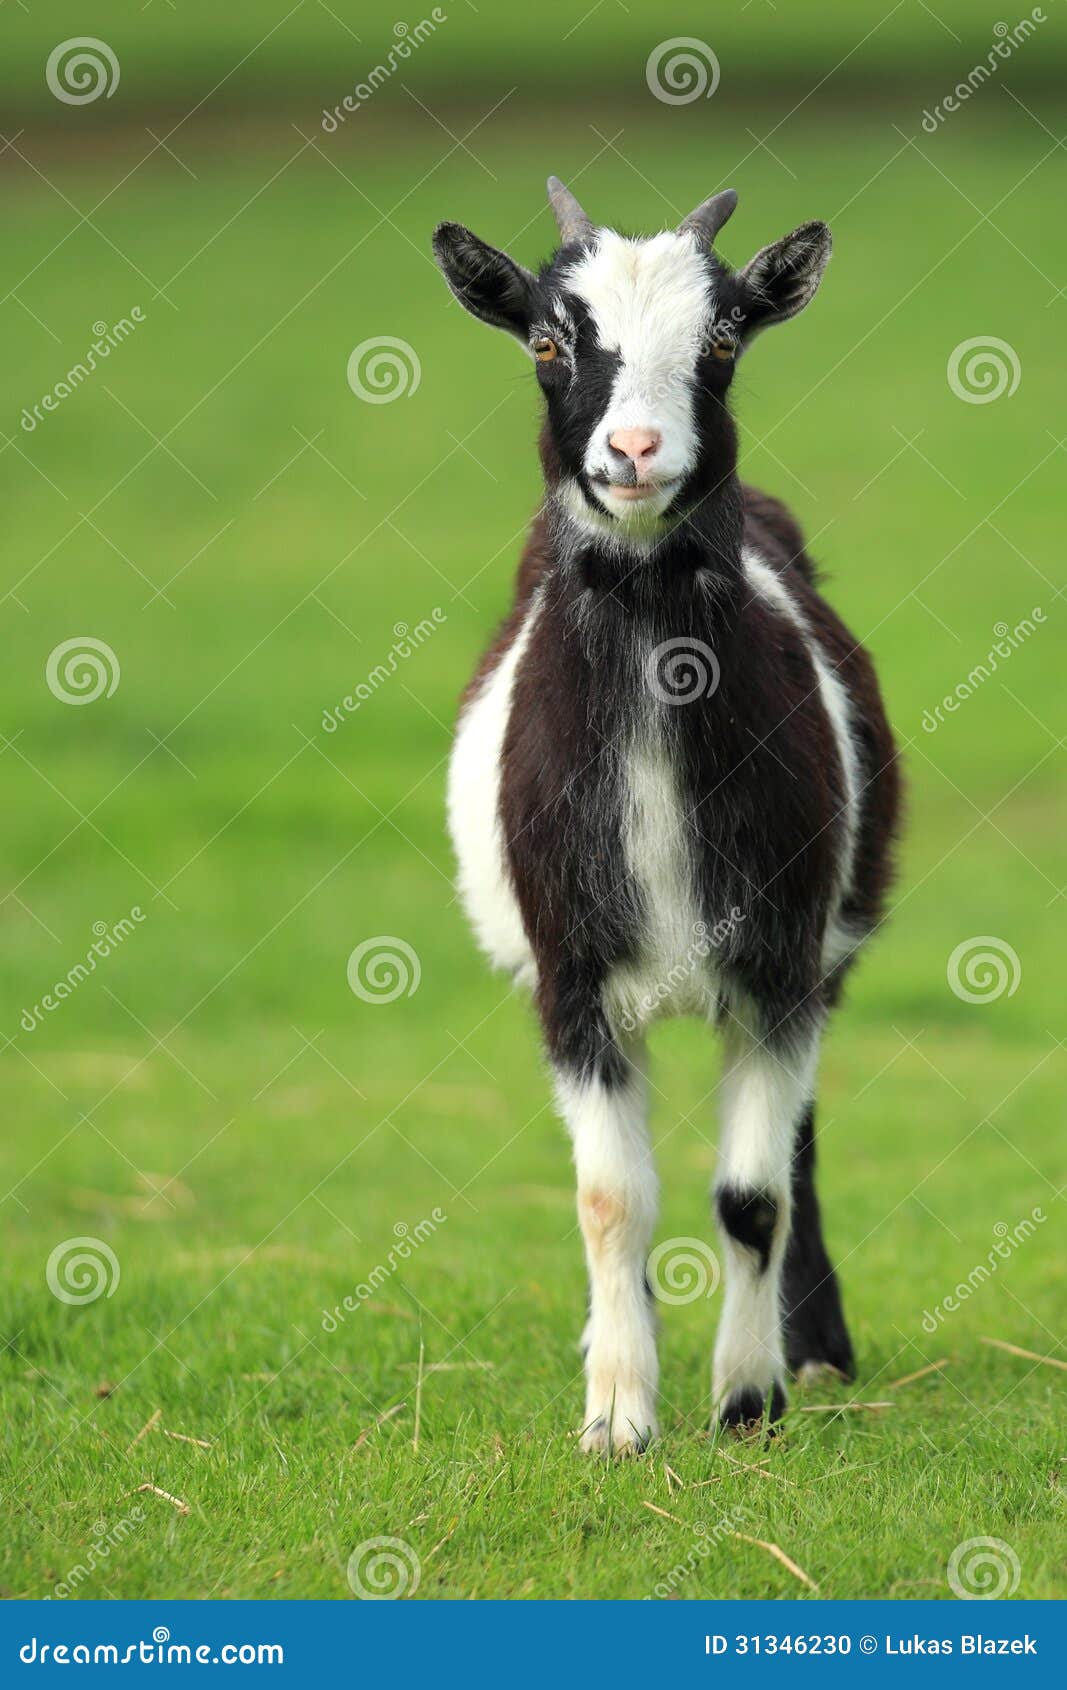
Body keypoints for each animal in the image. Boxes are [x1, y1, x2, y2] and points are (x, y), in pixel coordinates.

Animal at [432, 178, 901, 1455]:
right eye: (548, 341)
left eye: (724, 340)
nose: (632, 451)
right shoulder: (573, 978)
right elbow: (610, 1197)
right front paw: (616, 1414)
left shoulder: (783, 964)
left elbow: (749, 1196)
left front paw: (747, 1397)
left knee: (796, 1150)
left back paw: (813, 1345)